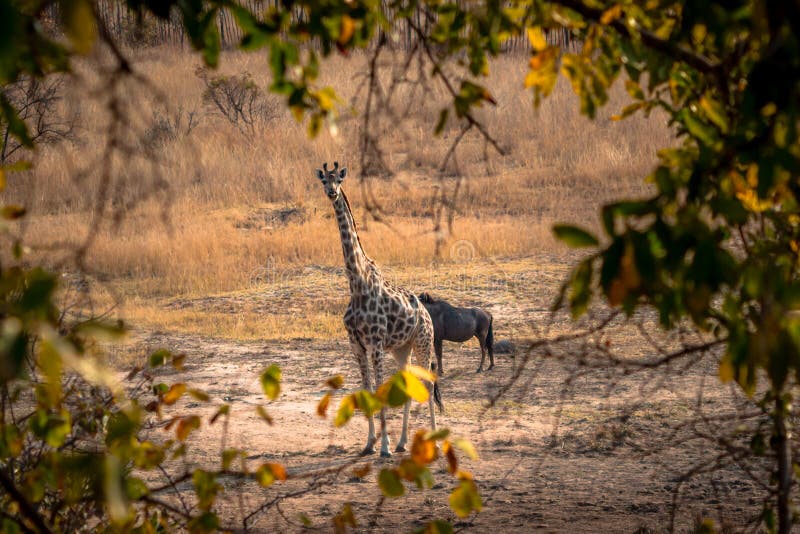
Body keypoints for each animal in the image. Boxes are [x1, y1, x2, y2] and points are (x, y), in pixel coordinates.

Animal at [316, 161, 443, 457]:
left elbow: (378, 391)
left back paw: (432, 442)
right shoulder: (356, 345)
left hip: (423, 342)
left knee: (429, 383)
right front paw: (370, 444)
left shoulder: (375, 343)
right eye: (323, 180)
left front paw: (382, 446)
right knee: (409, 386)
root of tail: (426, 313)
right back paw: (402, 443)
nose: (331, 192)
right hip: (401, 349)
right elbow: (366, 391)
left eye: (339, 179)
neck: (356, 284)